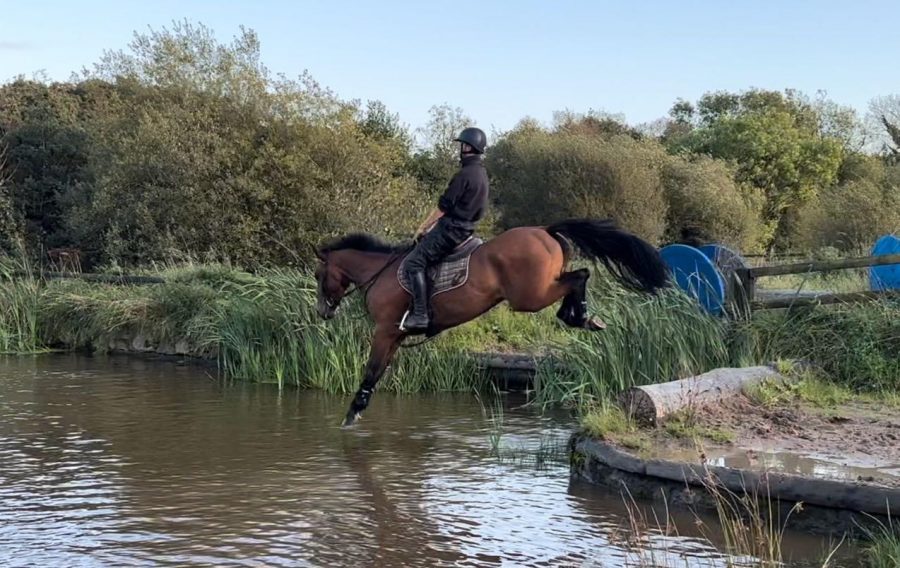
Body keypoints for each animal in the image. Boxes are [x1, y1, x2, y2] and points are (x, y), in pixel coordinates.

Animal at [313, 218, 669, 427]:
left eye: (318, 275)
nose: (322, 312)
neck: (379, 273)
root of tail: (544, 231)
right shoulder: (396, 336)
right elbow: (378, 372)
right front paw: (358, 409)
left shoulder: (385, 330)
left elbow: (371, 369)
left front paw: (351, 413)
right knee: (577, 276)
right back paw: (583, 317)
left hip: (530, 295)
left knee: (579, 276)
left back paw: (577, 316)